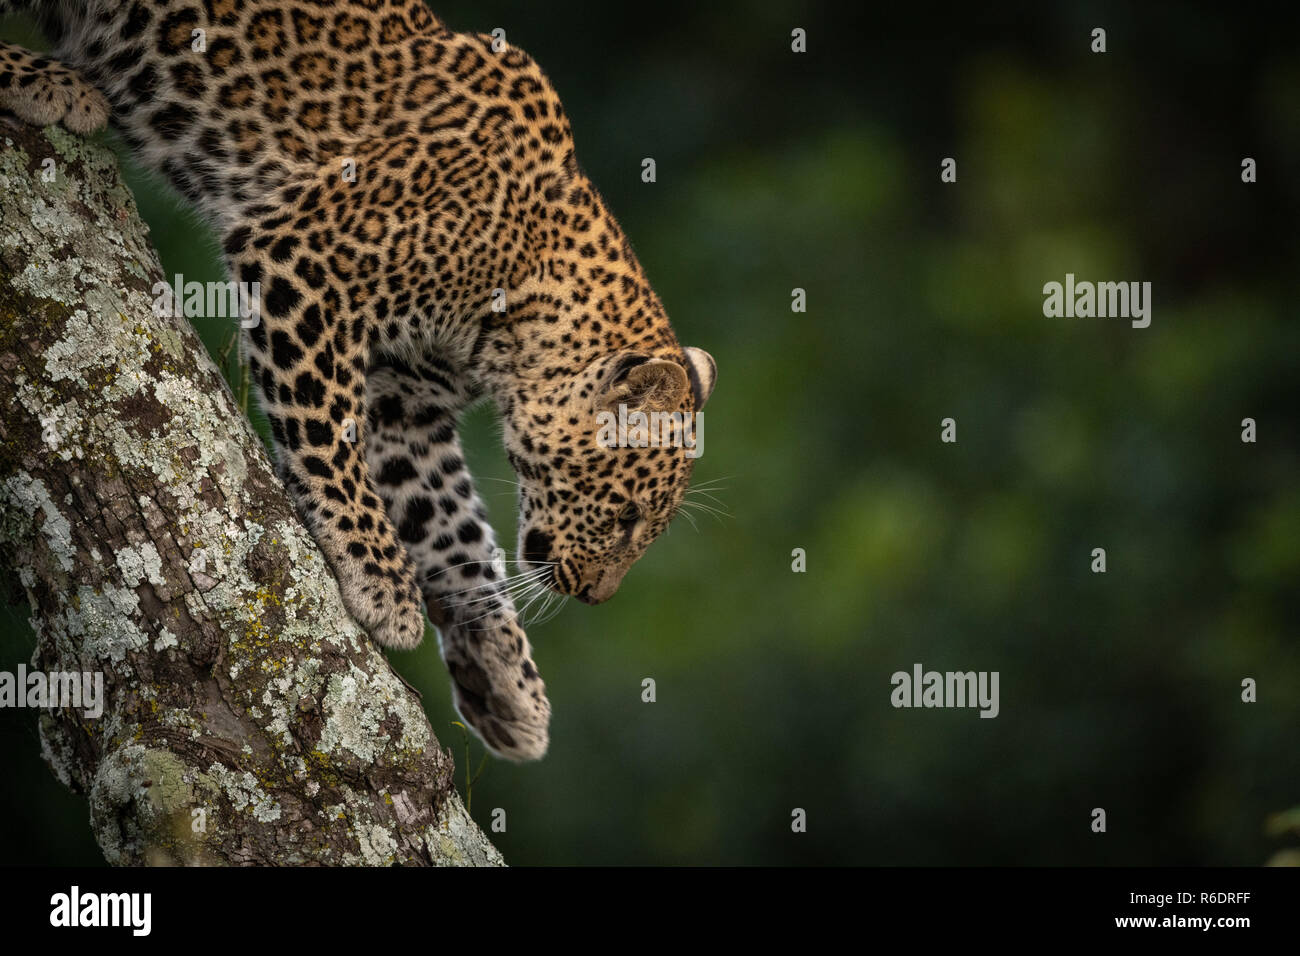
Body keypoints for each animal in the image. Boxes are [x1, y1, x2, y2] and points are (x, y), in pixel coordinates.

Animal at [0, 0, 717, 761]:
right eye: (626, 515)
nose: (595, 596)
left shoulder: (405, 404)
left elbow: (454, 529)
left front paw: (503, 679)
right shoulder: (303, 259)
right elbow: (327, 431)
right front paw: (382, 584)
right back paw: (51, 83)